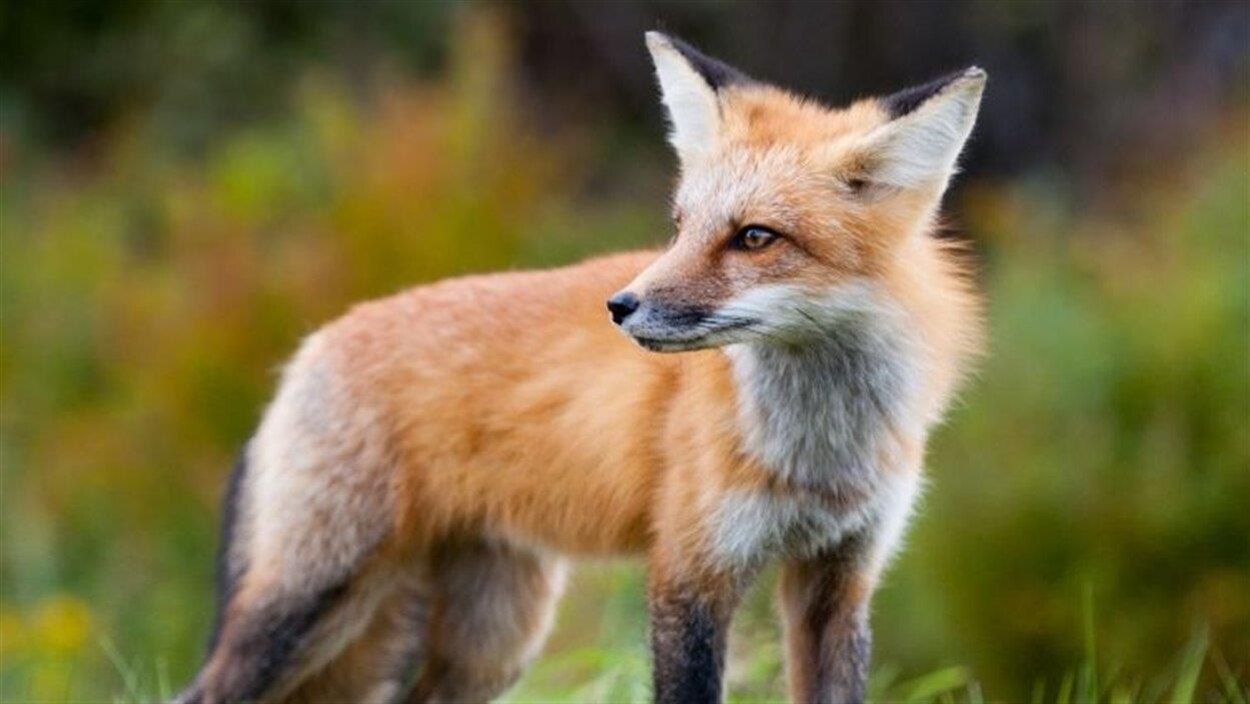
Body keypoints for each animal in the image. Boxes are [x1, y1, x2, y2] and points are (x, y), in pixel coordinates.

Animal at [175, 32, 985, 704]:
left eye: (756, 237)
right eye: (681, 226)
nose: (620, 306)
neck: (818, 452)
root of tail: (312, 344)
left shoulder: (840, 579)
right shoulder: (688, 570)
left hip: (491, 642)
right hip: (316, 600)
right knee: (199, 692)